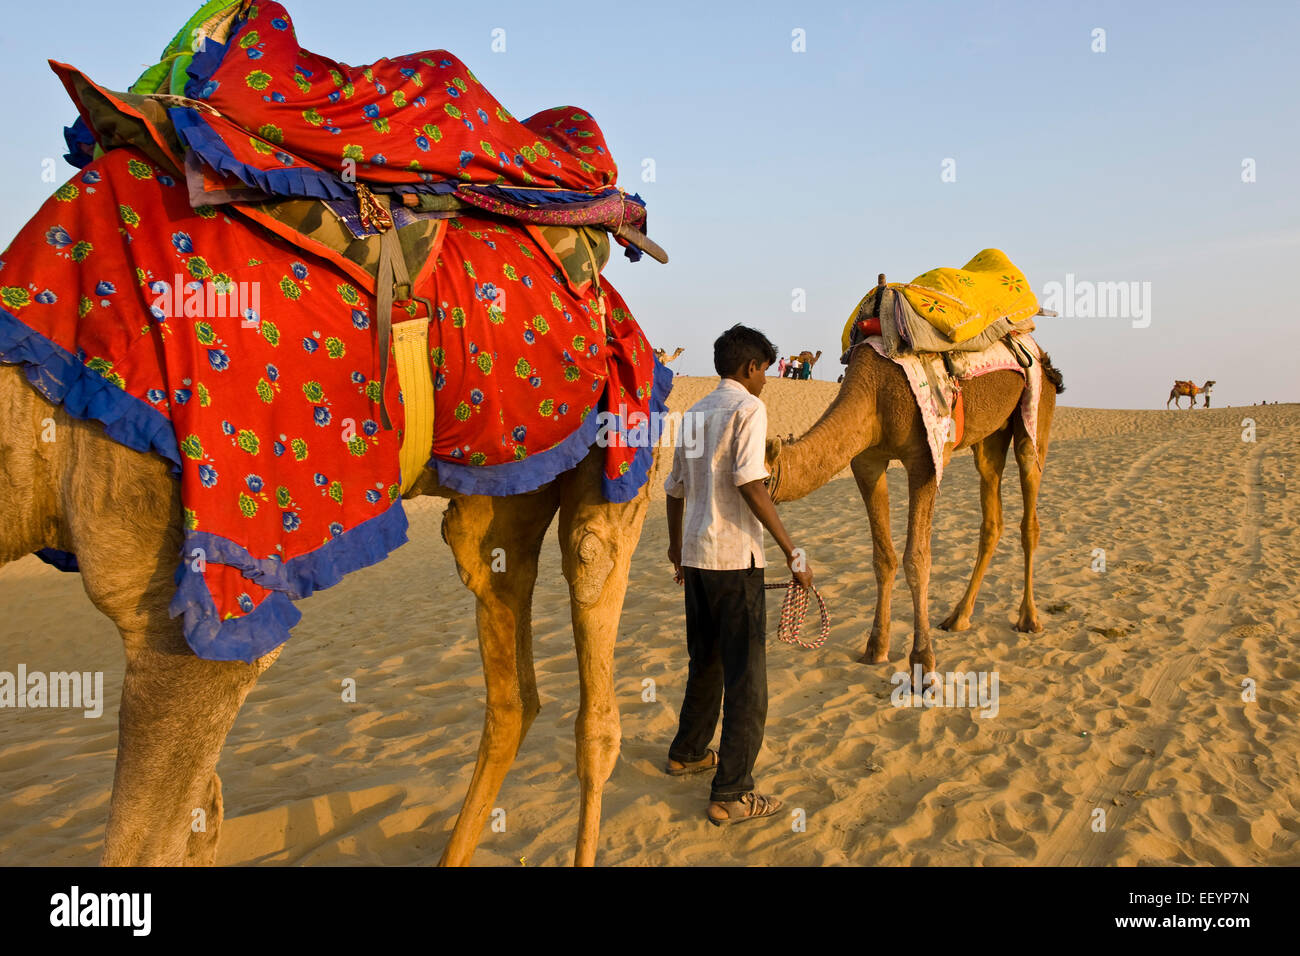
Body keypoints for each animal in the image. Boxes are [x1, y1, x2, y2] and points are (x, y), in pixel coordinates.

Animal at [0, 362, 653, 867]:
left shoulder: (180, 606)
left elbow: (147, 844)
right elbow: (200, 818)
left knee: (593, 612)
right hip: (492, 513)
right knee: (513, 688)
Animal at [765, 341, 1064, 672]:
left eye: (762, 480)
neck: (874, 391)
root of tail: (1042, 356)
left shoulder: (926, 459)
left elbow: (917, 559)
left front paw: (922, 659)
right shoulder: (866, 460)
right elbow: (883, 559)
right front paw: (875, 649)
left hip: (1036, 413)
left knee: (1030, 510)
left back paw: (1029, 619)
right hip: (991, 436)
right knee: (992, 516)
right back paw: (958, 617)